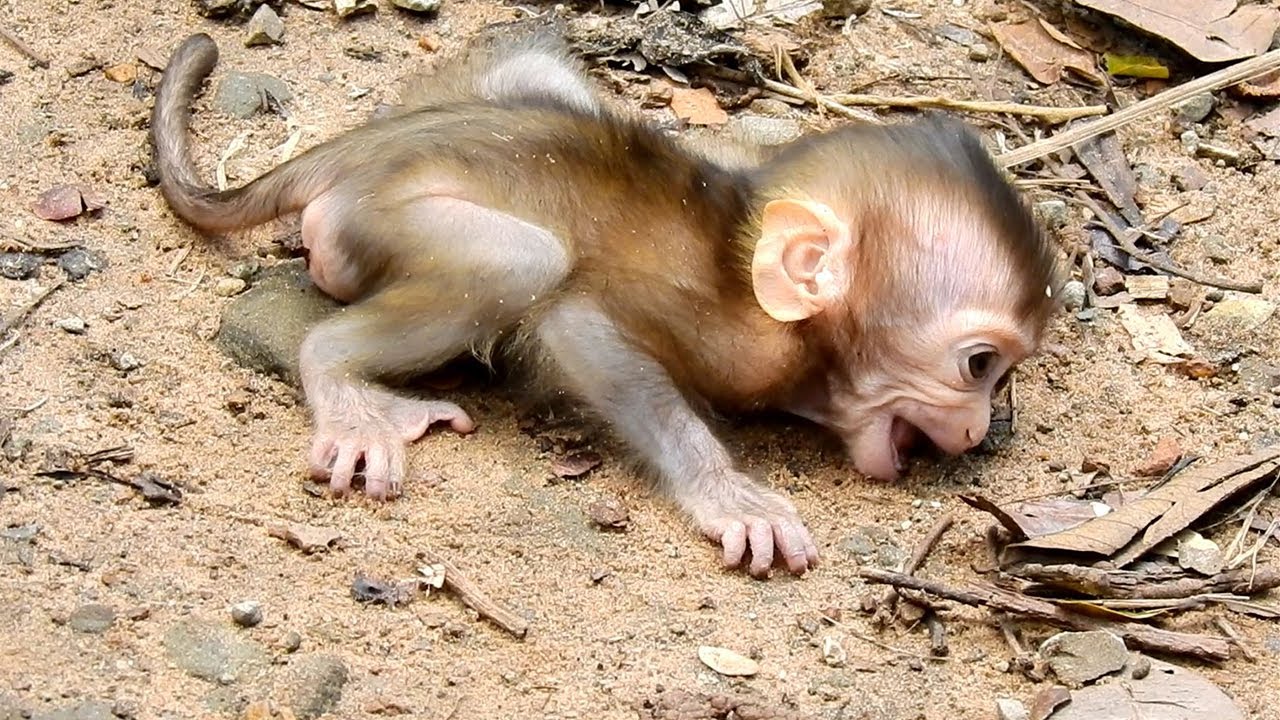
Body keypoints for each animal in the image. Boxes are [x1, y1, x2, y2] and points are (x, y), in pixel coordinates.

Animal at [150, 30, 1060, 578]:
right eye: (979, 364)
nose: (976, 430)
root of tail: (369, 143)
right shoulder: (742, 342)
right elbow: (577, 328)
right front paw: (727, 494)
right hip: (379, 218)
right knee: (522, 260)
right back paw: (341, 380)